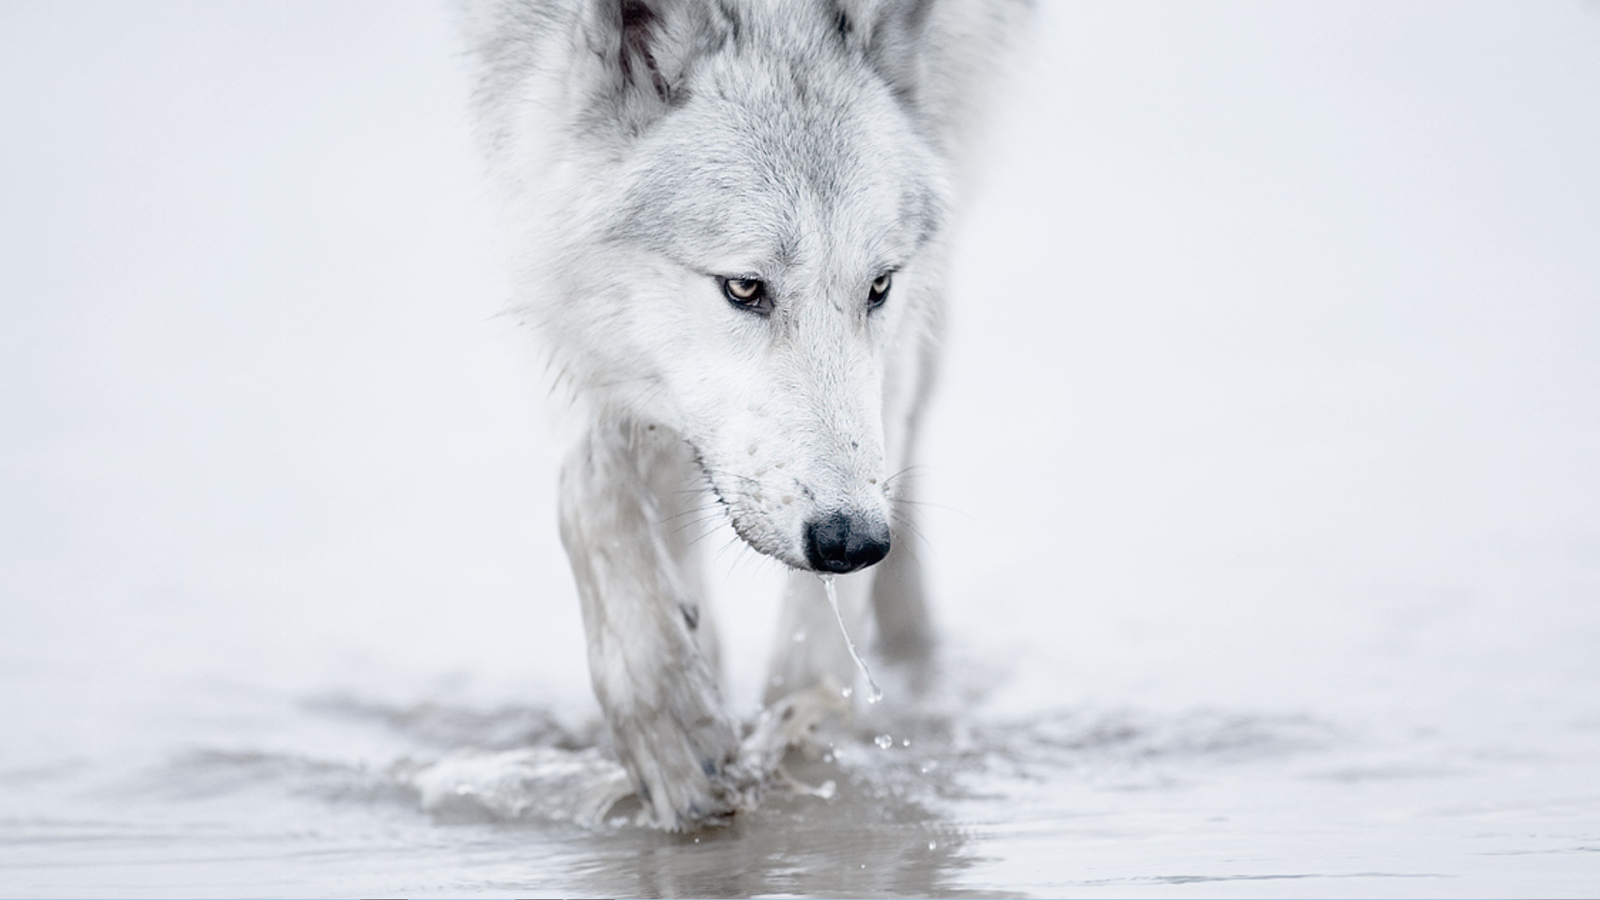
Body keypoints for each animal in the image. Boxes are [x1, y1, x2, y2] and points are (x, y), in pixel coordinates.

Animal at [460, 0, 1026, 830]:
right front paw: (671, 718)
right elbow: (591, 489)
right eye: (744, 288)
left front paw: (802, 741)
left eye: (879, 286)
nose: (853, 540)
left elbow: (815, 639)